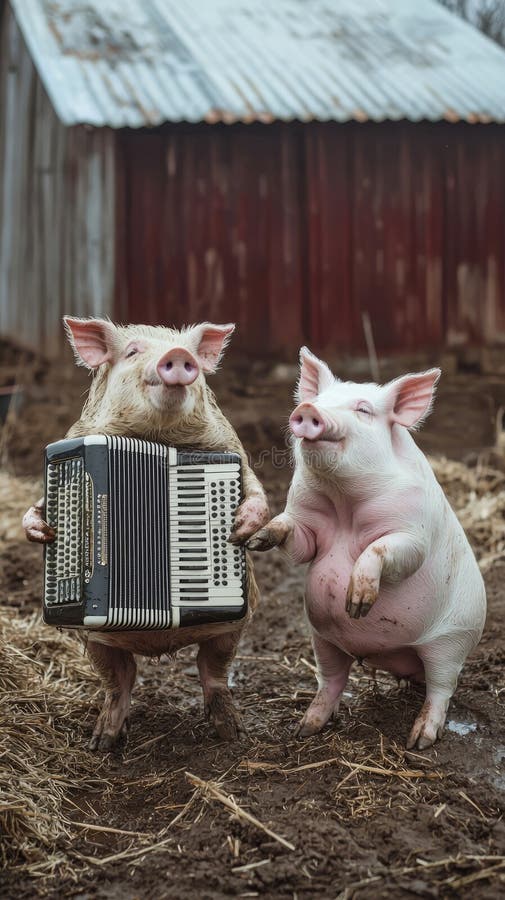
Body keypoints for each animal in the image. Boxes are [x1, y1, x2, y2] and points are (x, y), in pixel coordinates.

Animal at [23, 317, 270, 750]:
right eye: (133, 351)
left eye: (188, 353)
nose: (179, 355)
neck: (158, 439)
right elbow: (34, 508)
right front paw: (45, 530)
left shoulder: (232, 452)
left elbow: (257, 489)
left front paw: (240, 529)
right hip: (94, 638)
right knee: (120, 679)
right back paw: (102, 742)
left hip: (232, 624)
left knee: (212, 669)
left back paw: (233, 734)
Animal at [247, 348, 486, 750]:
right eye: (321, 399)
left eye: (363, 409)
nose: (308, 409)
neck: (344, 504)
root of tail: (397, 659)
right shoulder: (308, 526)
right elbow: (297, 538)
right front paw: (256, 539)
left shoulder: (413, 533)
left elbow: (384, 550)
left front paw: (356, 605)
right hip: (322, 638)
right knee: (332, 680)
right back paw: (304, 727)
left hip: (453, 640)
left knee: (441, 689)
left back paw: (419, 740)